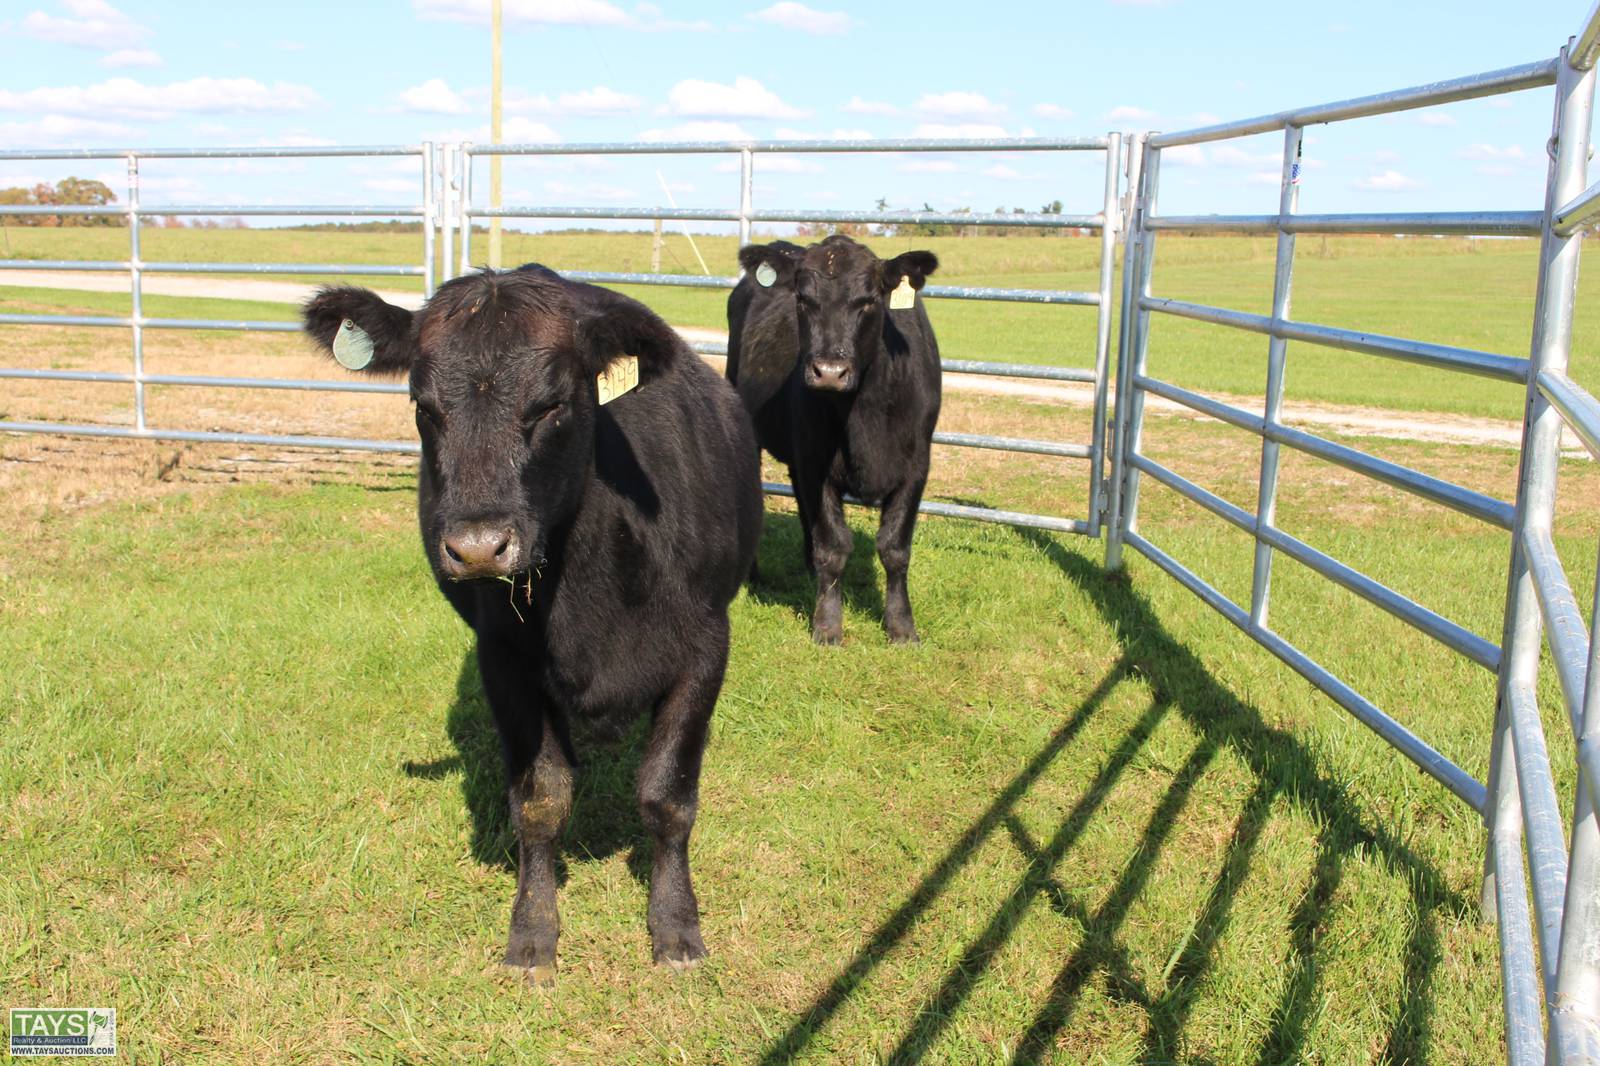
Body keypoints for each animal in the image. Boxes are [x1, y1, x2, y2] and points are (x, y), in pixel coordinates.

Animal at [302, 264, 762, 983]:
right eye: (423, 407)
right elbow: (542, 799)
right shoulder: (504, 658)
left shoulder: (706, 647)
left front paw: (677, 927)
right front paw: (532, 933)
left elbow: (667, 796)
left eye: (552, 404)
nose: (477, 547)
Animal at [726, 235, 941, 645]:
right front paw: (827, 625)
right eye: (802, 299)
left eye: (869, 300)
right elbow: (833, 546)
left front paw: (902, 627)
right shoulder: (816, 462)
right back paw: (754, 575)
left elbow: (895, 549)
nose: (828, 371)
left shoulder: (916, 466)